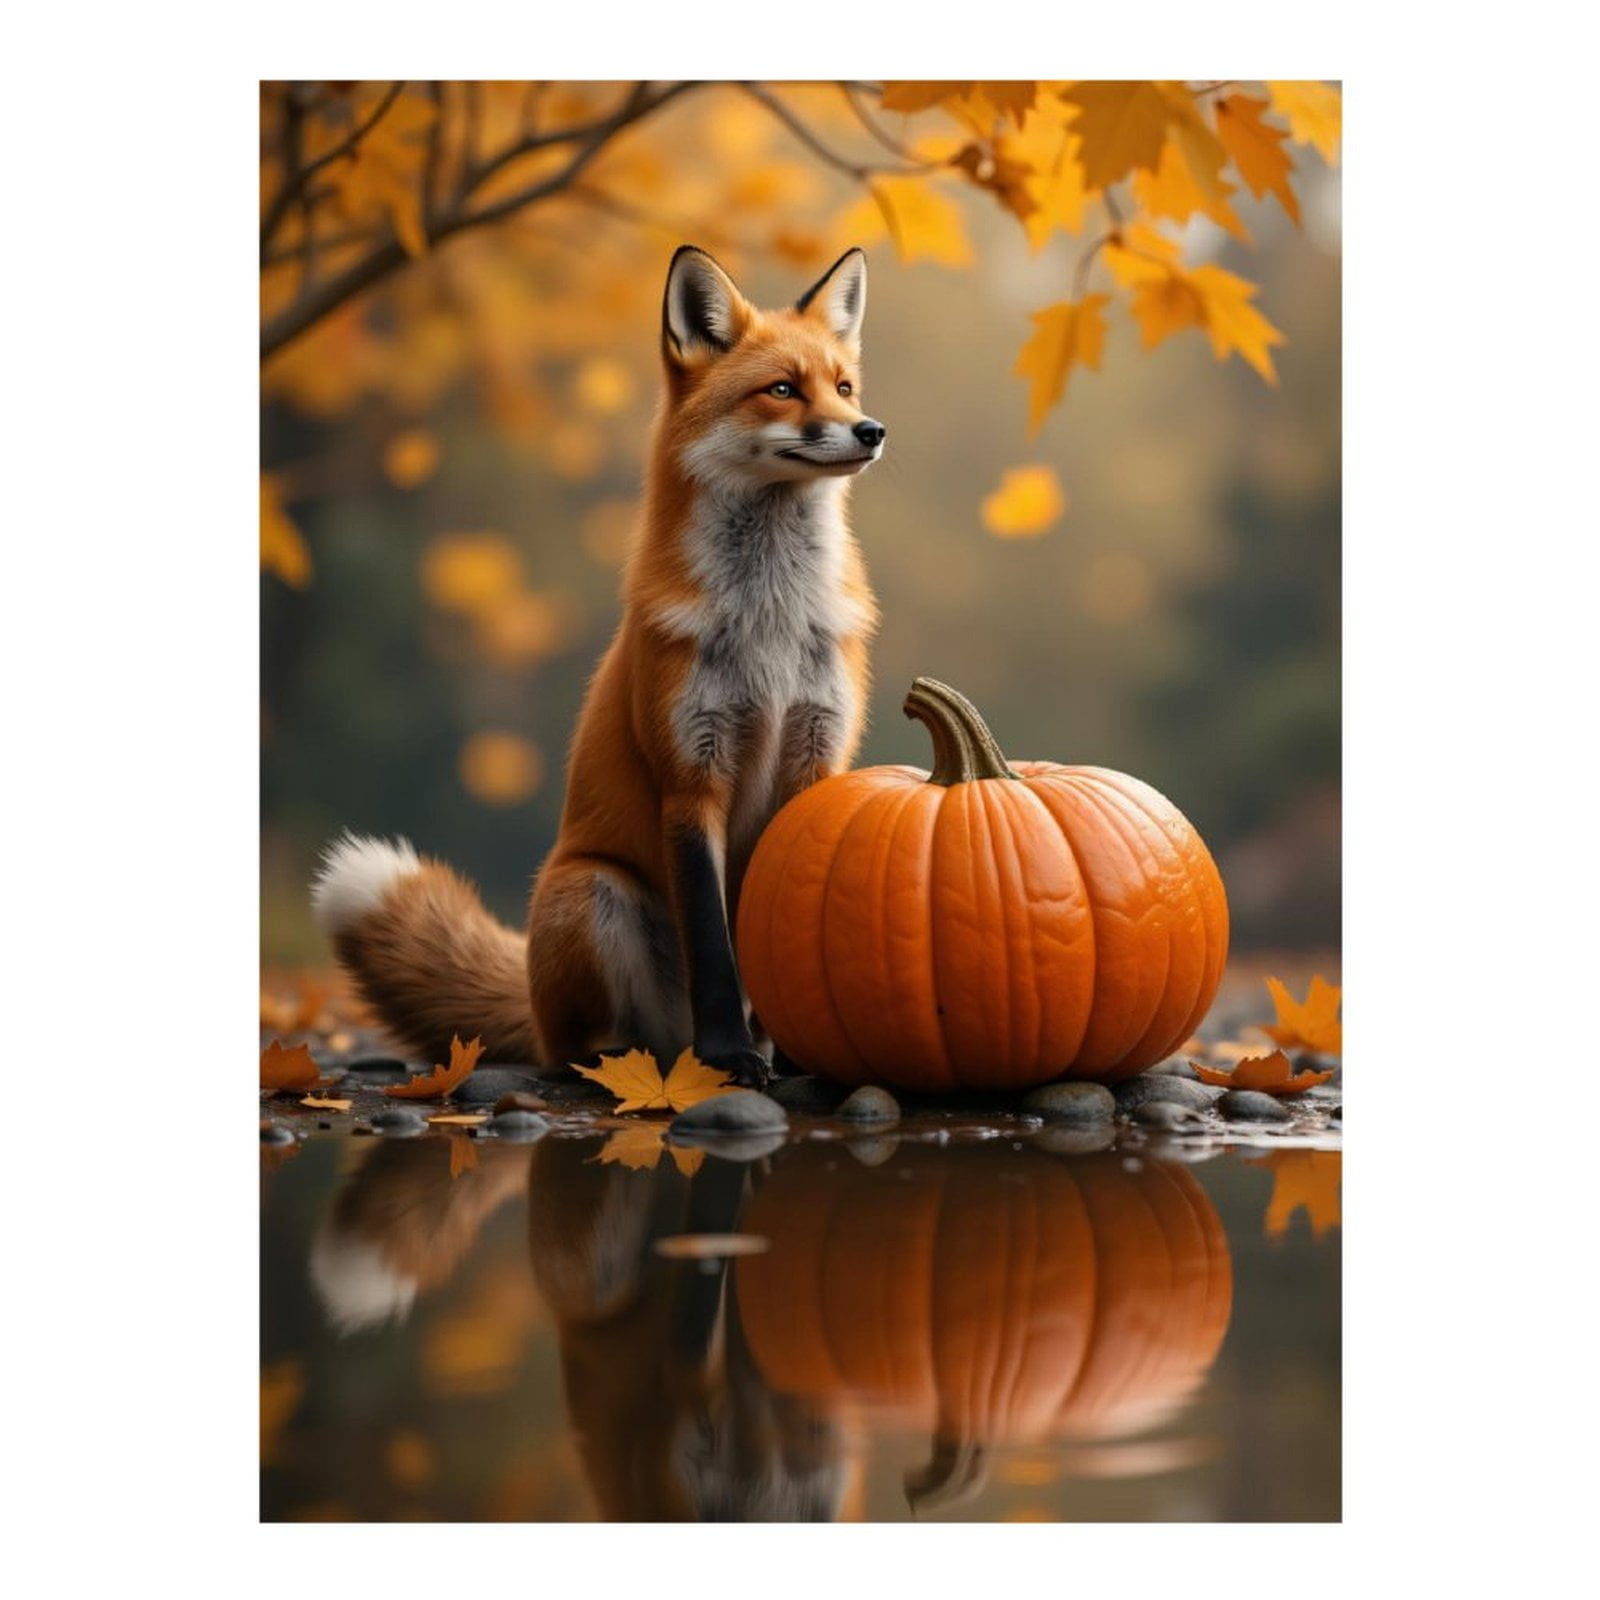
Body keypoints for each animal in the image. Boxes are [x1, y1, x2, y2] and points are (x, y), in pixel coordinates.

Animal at [311, 244, 885, 1085]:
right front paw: (729, 1058)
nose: (872, 430)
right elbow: (715, 950)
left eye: (844, 387)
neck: (769, 627)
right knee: (575, 1047)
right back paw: (637, 1063)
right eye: (782, 389)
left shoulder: (817, 759)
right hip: (593, 891)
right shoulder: (689, 780)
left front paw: (792, 1057)